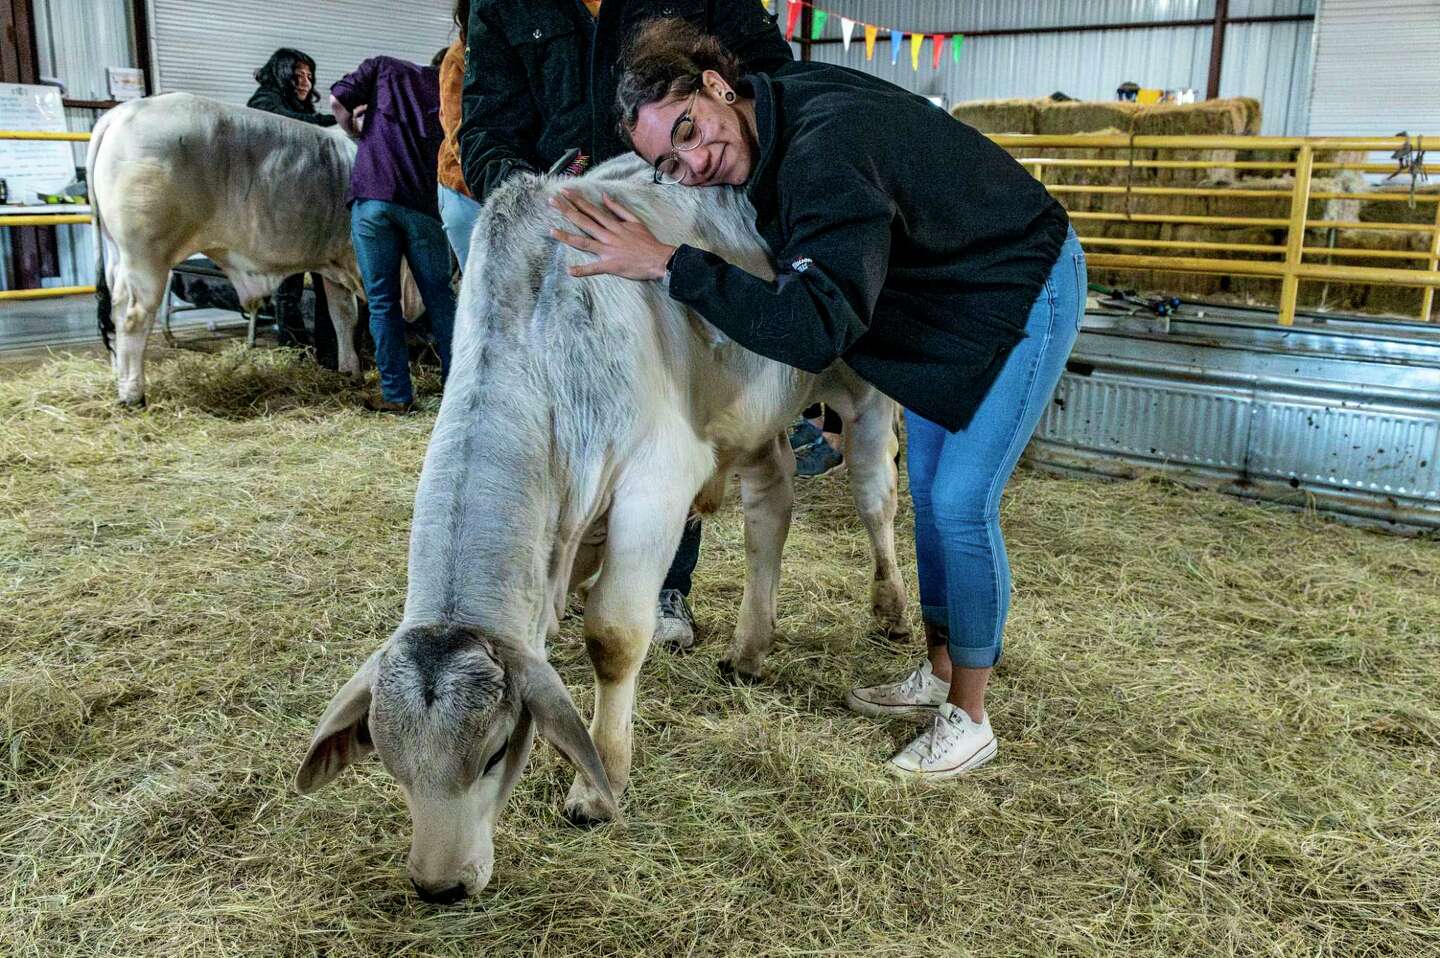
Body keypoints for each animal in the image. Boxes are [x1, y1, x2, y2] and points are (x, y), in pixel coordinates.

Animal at [88, 93, 375, 406]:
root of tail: (122, 112)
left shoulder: (335, 266)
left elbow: (343, 317)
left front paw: (351, 372)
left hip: (118, 257)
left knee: (115, 312)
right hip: (146, 257)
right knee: (133, 318)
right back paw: (133, 395)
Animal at [294, 155, 910, 903]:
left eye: (495, 752)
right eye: (388, 760)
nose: (440, 886)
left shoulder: (657, 481)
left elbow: (613, 637)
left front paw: (600, 782)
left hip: (863, 392)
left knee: (875, 496)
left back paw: (891, 607)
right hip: (755, 414)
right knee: (772, 504)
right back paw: (749, 645)